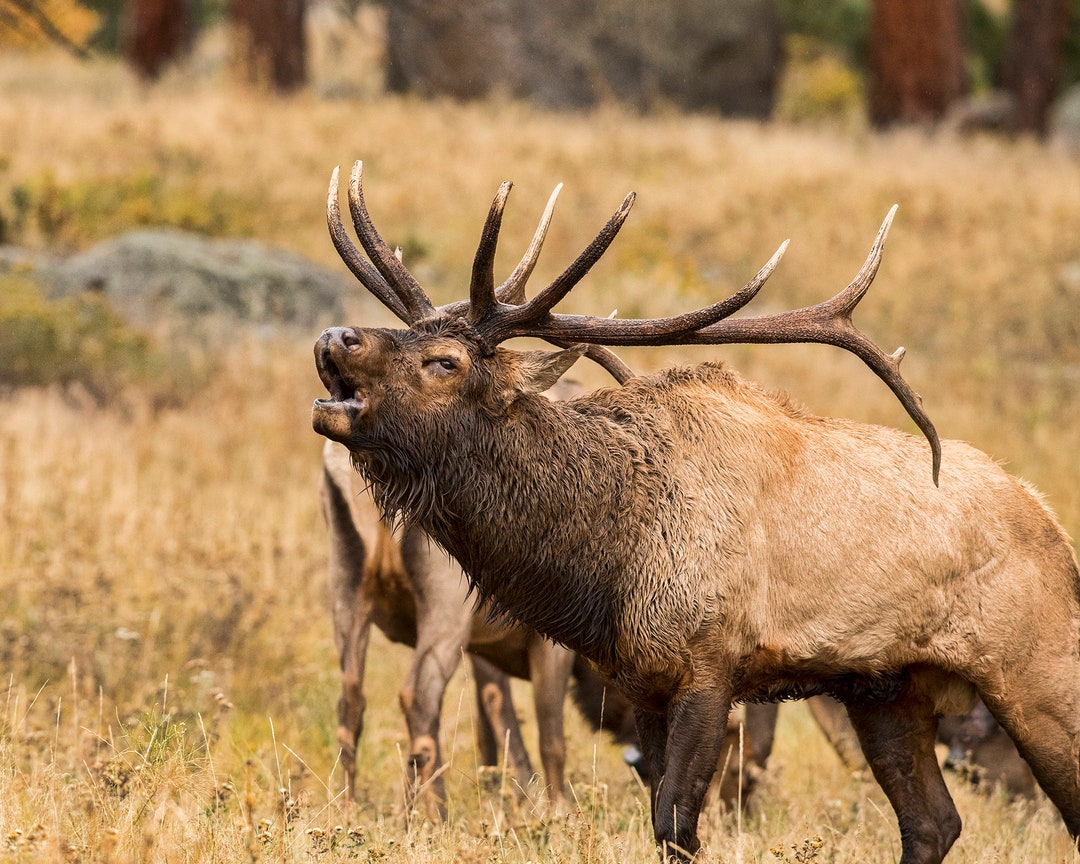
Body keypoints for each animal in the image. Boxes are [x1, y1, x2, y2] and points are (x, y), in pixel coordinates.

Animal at [311, 161, 1080, 864]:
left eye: (445, 360)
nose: (336, 336)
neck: (603, 567)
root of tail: (1053, 526)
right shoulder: (639, 679)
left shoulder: (710, 663)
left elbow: (676, 826)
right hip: (885, 688)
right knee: (933, 823)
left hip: (1036, 667)